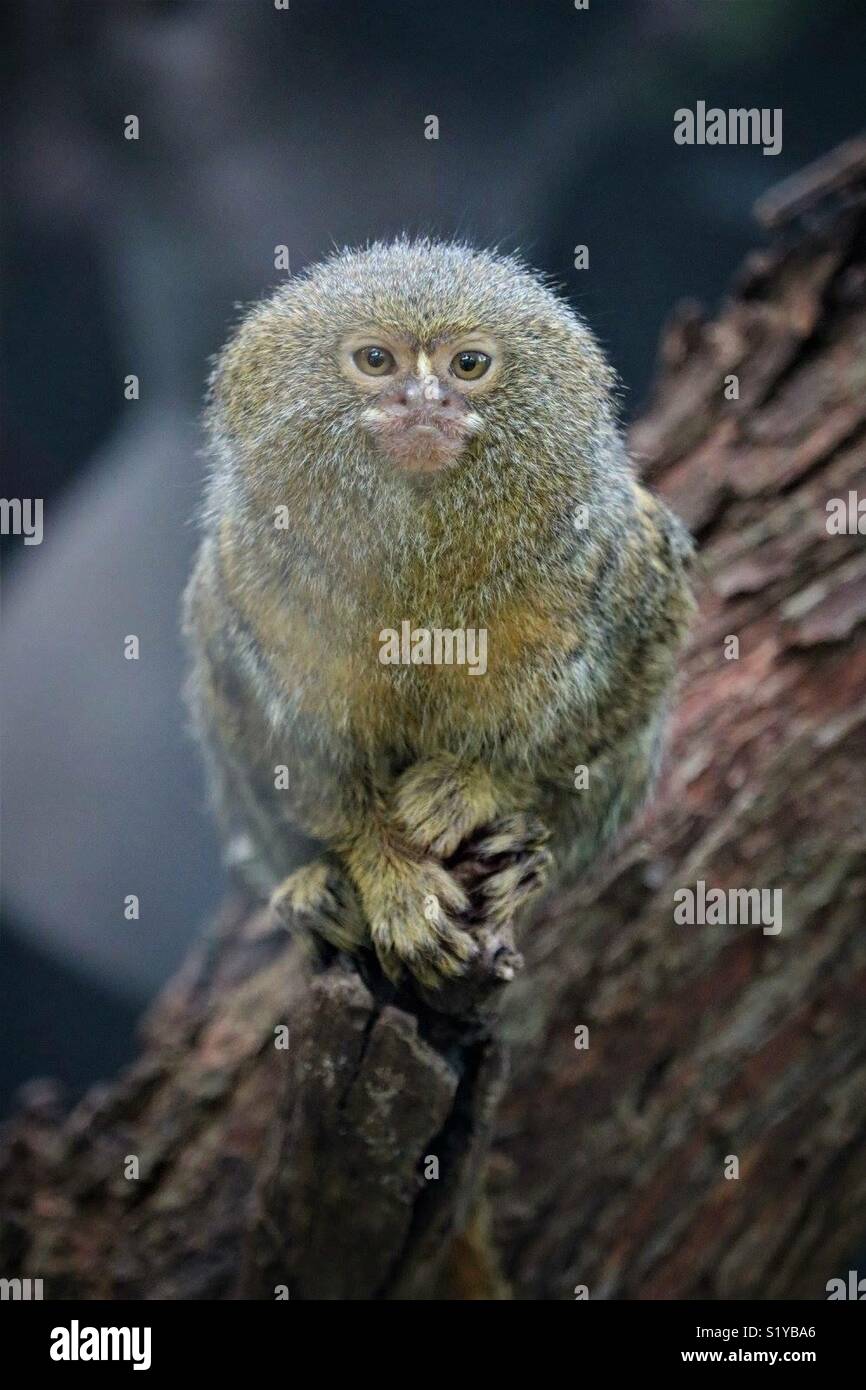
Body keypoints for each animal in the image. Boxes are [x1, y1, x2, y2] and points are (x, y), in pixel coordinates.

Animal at [183, 237, 694, 992]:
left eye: (469, 365)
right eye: (376, 360)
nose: (425, 399)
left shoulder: (623, 557)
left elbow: (618, 695)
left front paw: (471, 785)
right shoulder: (240, 585)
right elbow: (288, 749)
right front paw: (394, 881)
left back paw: (522, 866)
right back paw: (312, 894)